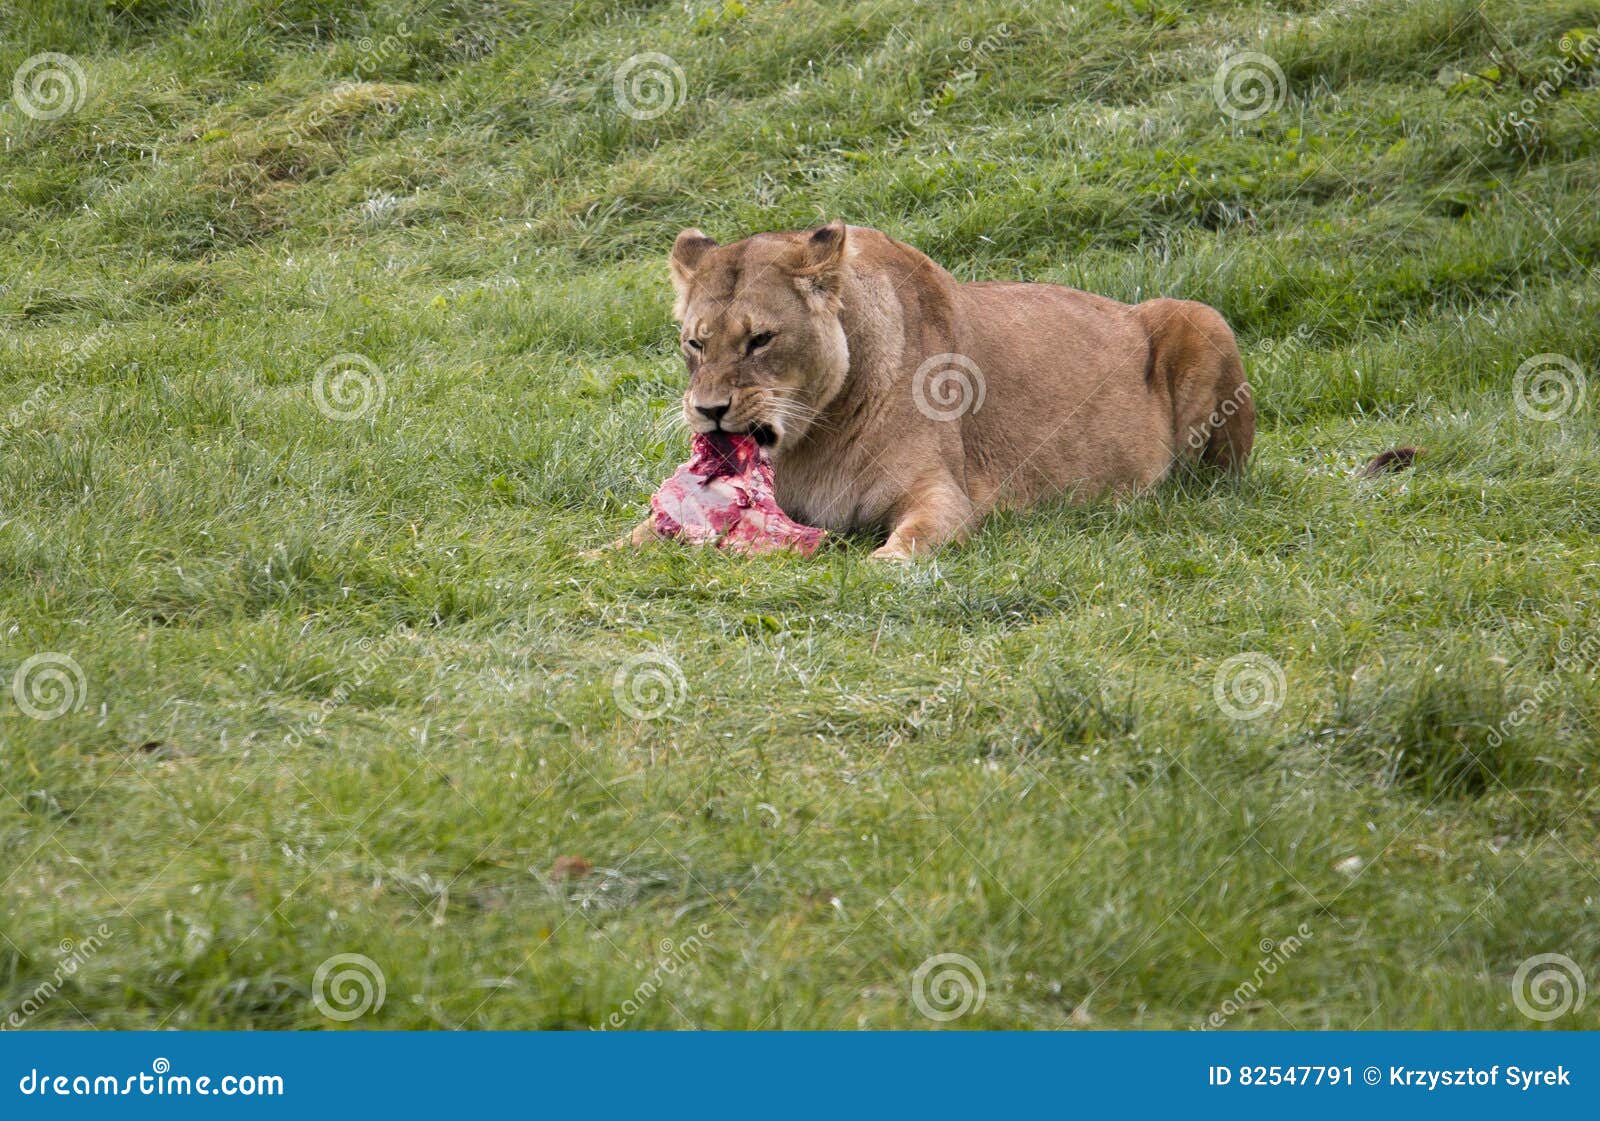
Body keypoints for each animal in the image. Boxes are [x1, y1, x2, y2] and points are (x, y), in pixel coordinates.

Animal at [618, 220, 1253, 559]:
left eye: (760, 340)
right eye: (695, 343)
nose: (708, 410)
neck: (809, 442)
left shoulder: (945, 494)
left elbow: (916, 537)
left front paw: (882, 566)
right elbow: (640, 531)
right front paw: (602, 556)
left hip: (1200, 316)